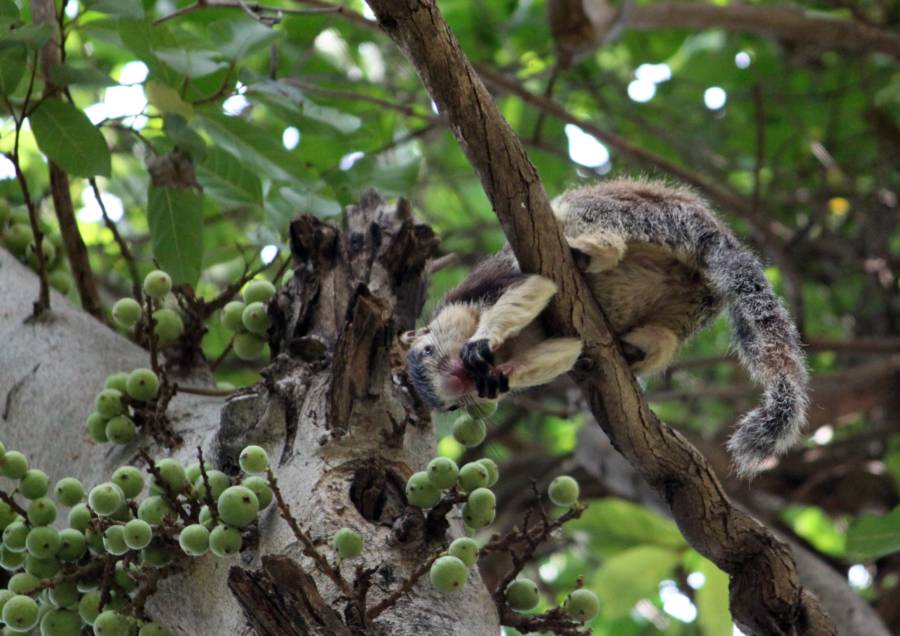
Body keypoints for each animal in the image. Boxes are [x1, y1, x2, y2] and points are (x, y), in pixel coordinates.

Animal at [404, 178, 808, 477]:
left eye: (427, 350)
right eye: (452, 406)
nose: (459, 377)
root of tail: (712, 232)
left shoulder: (486, 287)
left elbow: (534, 286)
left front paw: (480, 344)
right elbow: (570, 347)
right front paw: (501, 376)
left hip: (626, 212)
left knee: (600, 232)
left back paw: (587, 253)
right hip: (685, 308)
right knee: (662, 338)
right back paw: (634, 349)